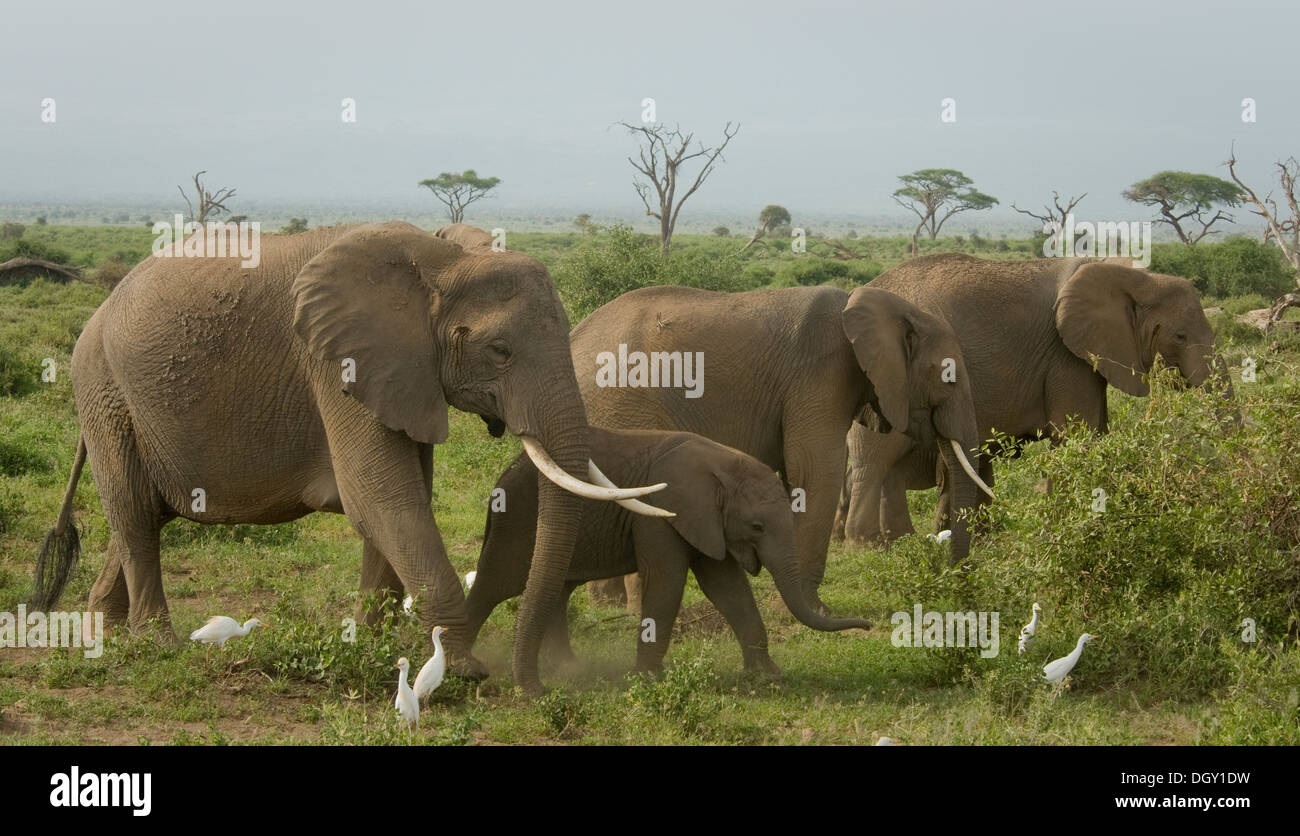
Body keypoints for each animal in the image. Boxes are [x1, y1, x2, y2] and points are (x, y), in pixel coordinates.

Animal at [30, 220, 666, 695]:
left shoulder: (403, 373)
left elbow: (401, 496)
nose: (535, 689)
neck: (440, 257)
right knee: (136, 513)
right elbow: (383, 497)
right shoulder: (336, 363)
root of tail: (100, 309)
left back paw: (107, 632)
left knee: (139, 515)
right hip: (104, 388)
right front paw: (462, 669)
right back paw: (155, 644)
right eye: (500, 351)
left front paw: (369, 645)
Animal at [465, 426, 872, 678]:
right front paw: (645, 678)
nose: (868, 626)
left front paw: (767, 676)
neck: (722, 463)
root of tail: (502, 477)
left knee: (556, 590)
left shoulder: (707, 521)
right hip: (517, 519)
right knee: (493, 585)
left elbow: (727, 586)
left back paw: (569, 670)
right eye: (757, 527)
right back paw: (465, 665)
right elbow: (668, 581)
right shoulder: (660, 515)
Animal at [568, 284, 992, 606]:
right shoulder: (821, 376)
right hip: (621, 404)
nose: (955, 575)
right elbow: (815, 471)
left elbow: (799, 474)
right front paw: (811, 606)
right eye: (949, 377)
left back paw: (609, 603)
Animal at [832, 253, 1233, 546]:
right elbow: (1076, 437)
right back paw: (871, 546)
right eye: (1180, 336)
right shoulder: (1065, 357)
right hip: (887, 374)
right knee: (878, 460)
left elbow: (1094, 435)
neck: (1129, 273)